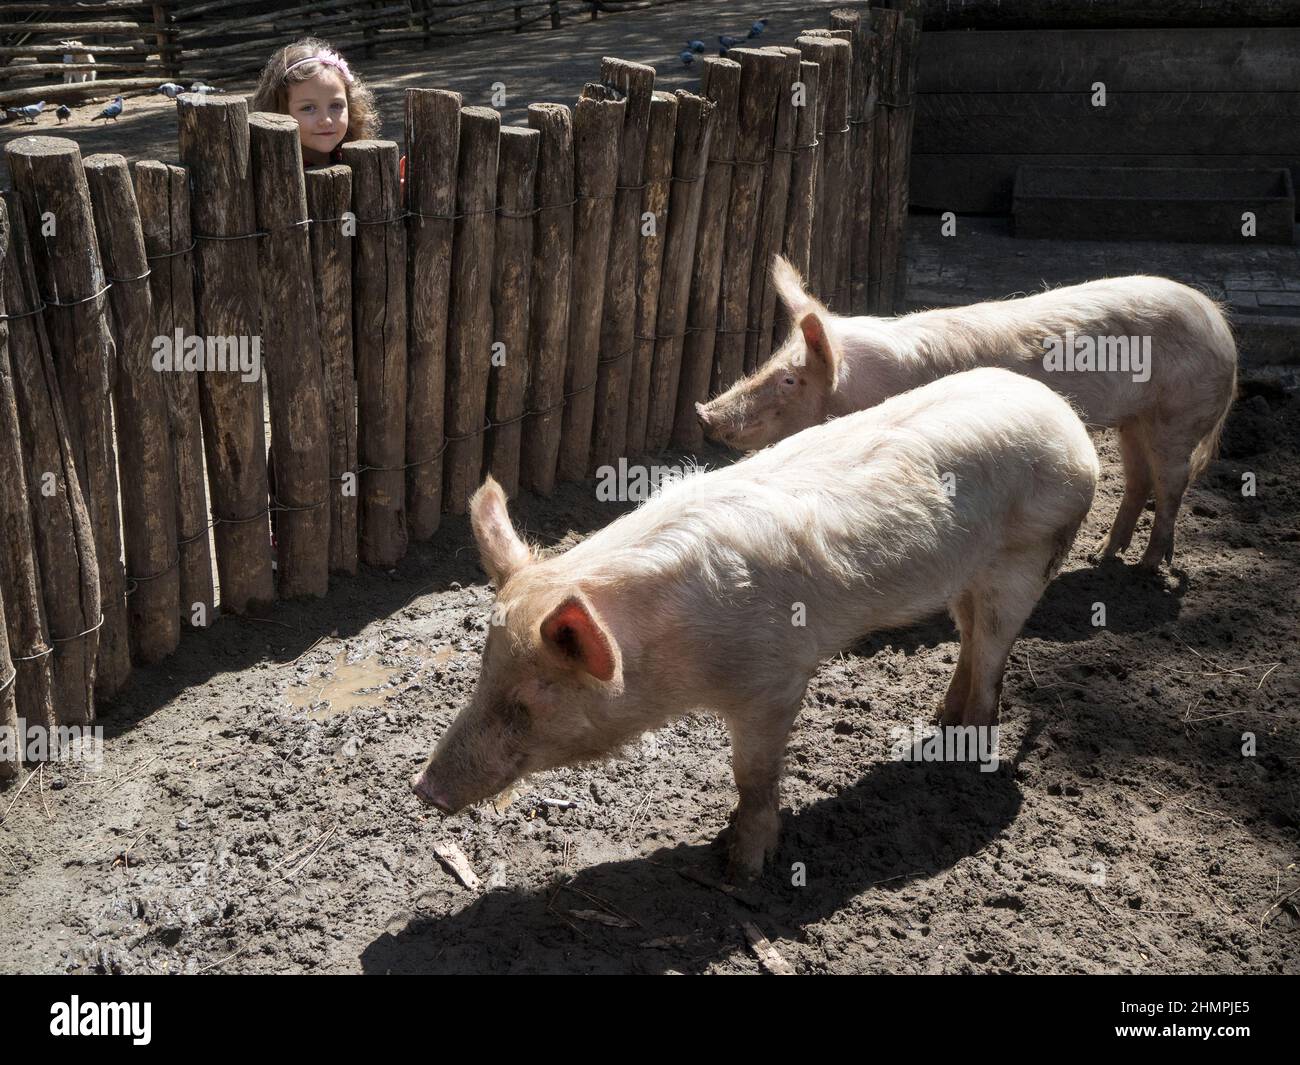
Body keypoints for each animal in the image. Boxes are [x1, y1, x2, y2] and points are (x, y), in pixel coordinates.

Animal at [411, 367, 1099, 878]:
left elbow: (754, 774)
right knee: (972, 643)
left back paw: (961, 755)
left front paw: (740, 867)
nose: (423, 790)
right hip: (964, 577)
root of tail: (1064, 417)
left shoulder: (774, 678)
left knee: (993, 656)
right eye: (481, 675)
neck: (668, 652)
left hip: (1027, 557)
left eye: (528, 701)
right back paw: (940, 724)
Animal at [696, 256, 1238, 571]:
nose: (704, 414)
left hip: (1179, 415)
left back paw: (1147, 567)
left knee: (1173, 484)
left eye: (790, 379)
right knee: (1138, 480)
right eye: (771, 359)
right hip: (1135, 418)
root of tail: (1220, 325)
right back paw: (1106, 556)